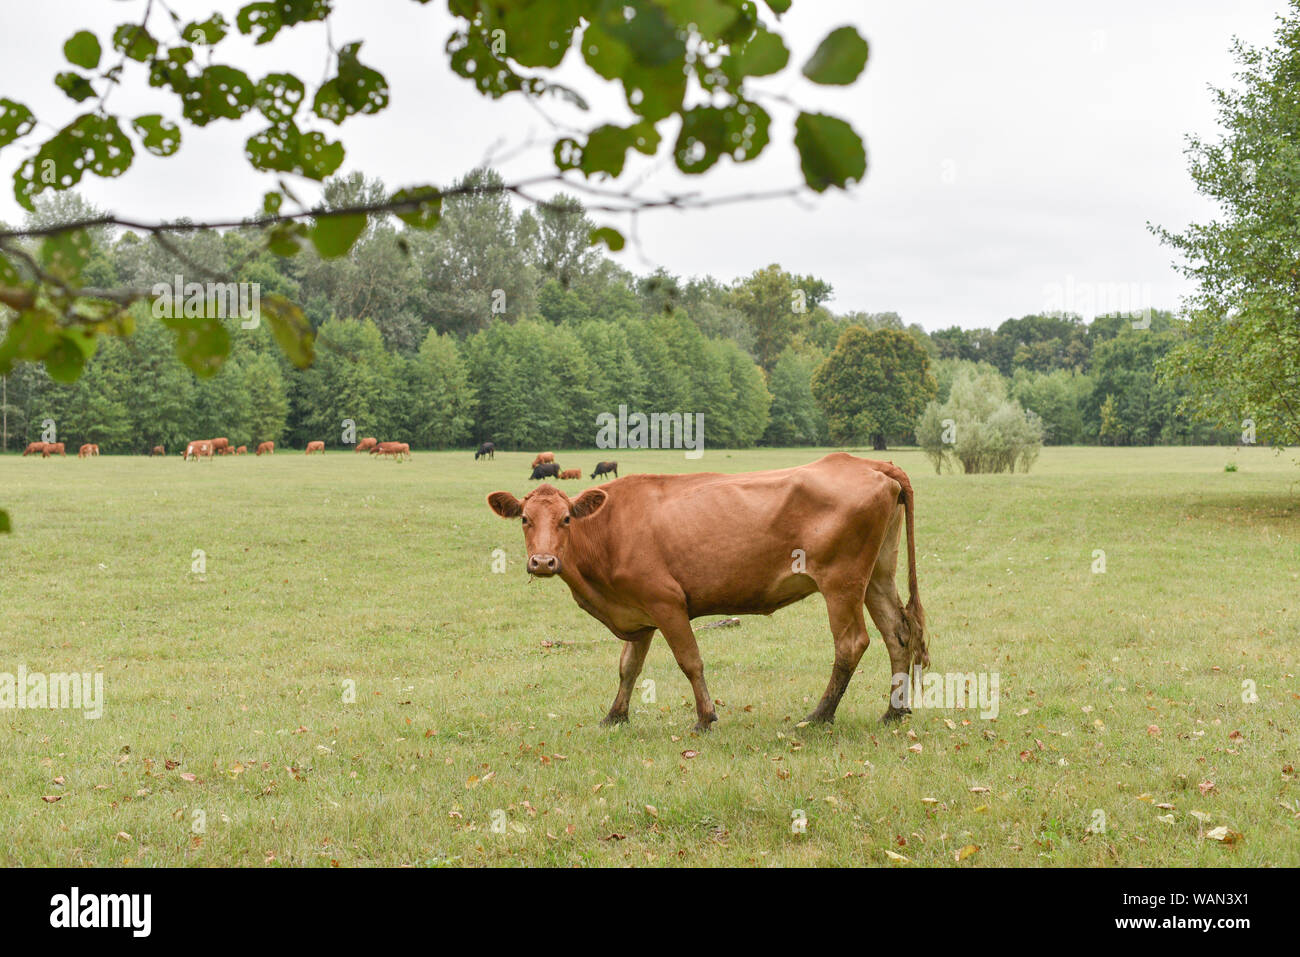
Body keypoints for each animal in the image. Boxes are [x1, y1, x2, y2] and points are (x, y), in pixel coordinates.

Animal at [487, 453, 928, 732]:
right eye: (524, 519)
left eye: (565, 519)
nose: (543, 562)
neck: (608, 531)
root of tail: (866, 462)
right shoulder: (638, 613)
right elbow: (628, 667)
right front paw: (615, 716)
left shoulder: (665, 601)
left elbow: (690, 661)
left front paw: (705, 717)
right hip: (877, 575)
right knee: (898, 634)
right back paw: (893, 712)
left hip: (842, 581)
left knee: (851, 643)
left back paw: (819, 715)